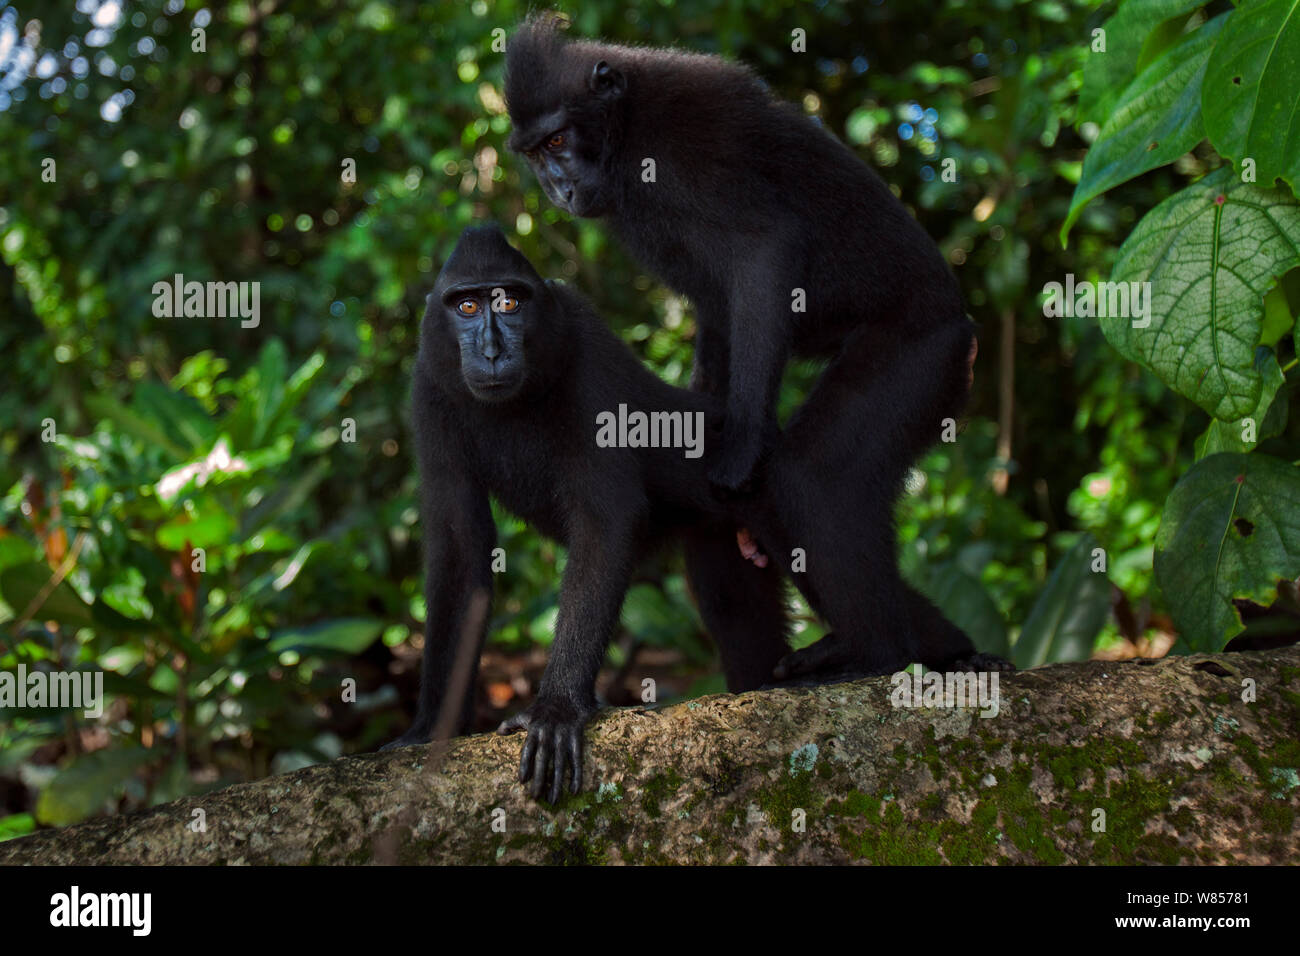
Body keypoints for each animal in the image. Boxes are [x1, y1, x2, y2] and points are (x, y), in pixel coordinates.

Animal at [383, 224, 793, 802]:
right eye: (466, 305)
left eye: (509, 302)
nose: (491, 351)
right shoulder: (429, 388)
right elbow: (461, 549)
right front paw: (428, 731)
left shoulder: (587, 349)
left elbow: (604, 519)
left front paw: (556, 709)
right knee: (736, 611)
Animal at [503, 16, 1011, 682]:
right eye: (536, 153)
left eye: (559, 139)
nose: (556, 187)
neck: (627, 124)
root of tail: (963, 329)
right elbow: (719, 307)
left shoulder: (686, 149)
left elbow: (762, 248)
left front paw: (742, 447)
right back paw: (949, 651)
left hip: (923, 355)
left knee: (815, 478)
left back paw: (873, 653)